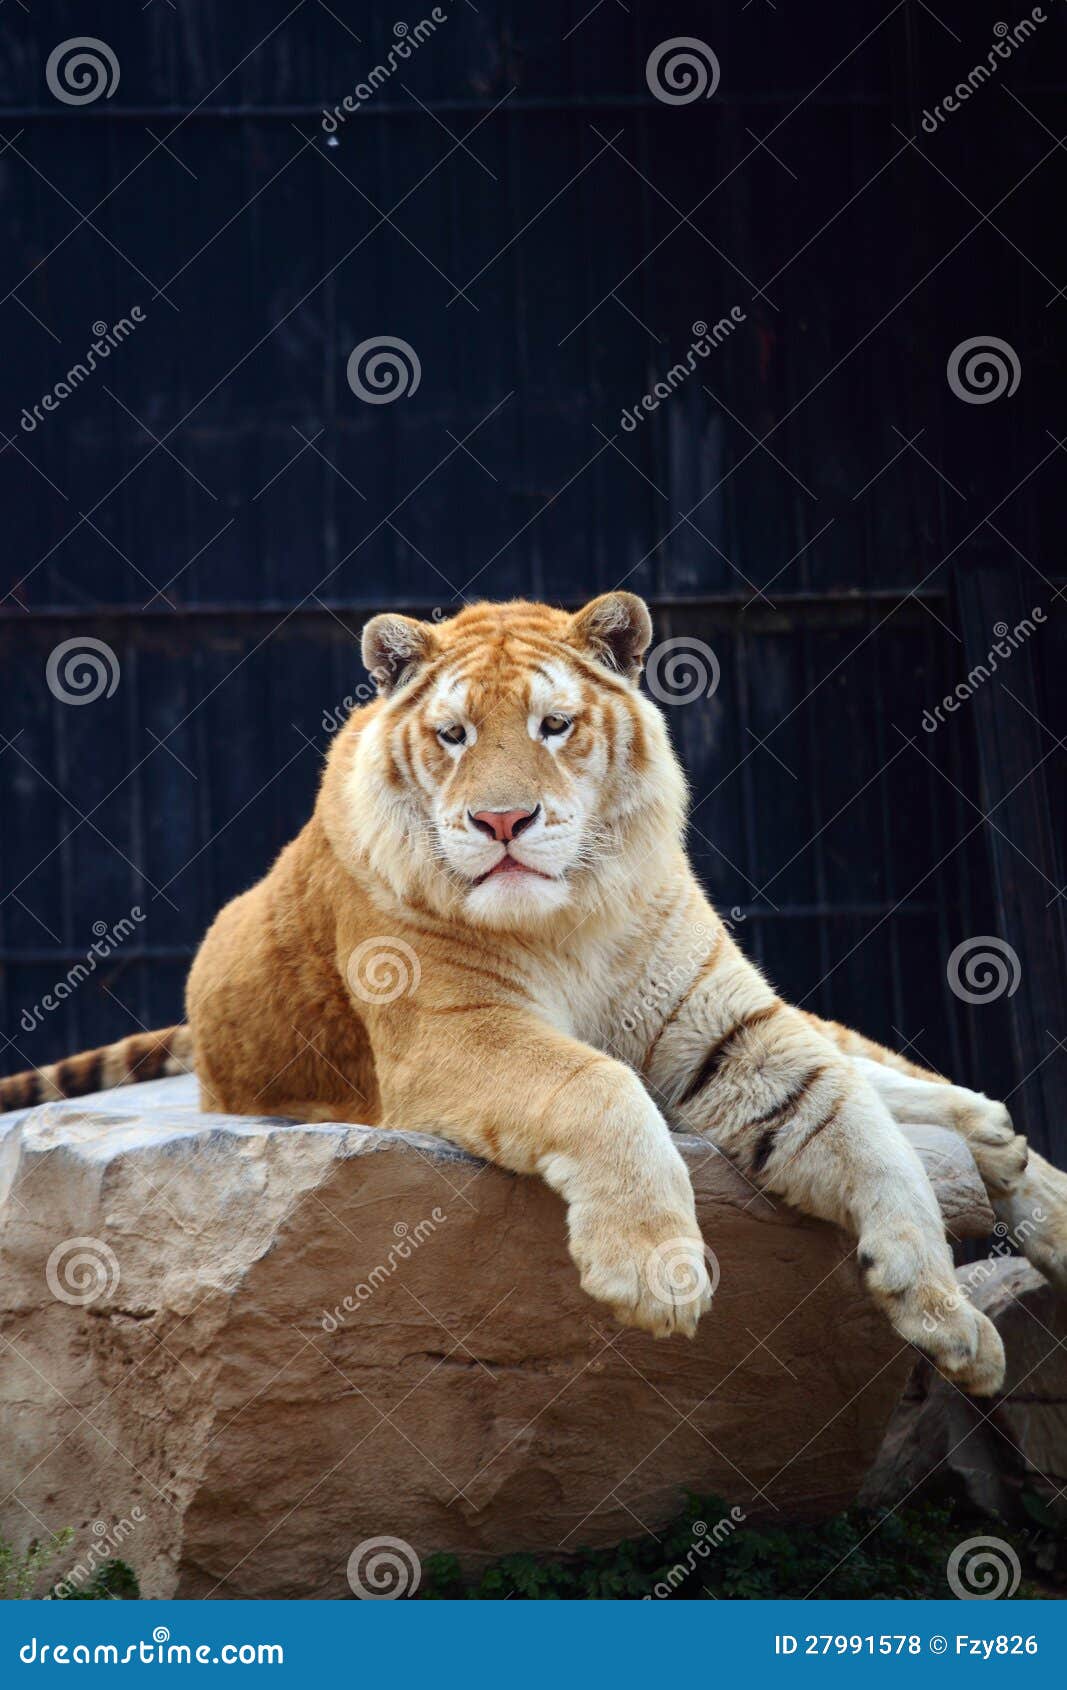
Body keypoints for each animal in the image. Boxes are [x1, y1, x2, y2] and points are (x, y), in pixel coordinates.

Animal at [4, 593, 1066, 1396]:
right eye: (453, 734)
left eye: (555, 726)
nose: (504, 819)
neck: (569, 920)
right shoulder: (451, 1033)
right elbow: (601, 1084)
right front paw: (654, 1272)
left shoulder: (736, 1027)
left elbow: (852, 1122)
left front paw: (947, 1316)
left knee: (878, 1071)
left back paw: (1016, 1164)